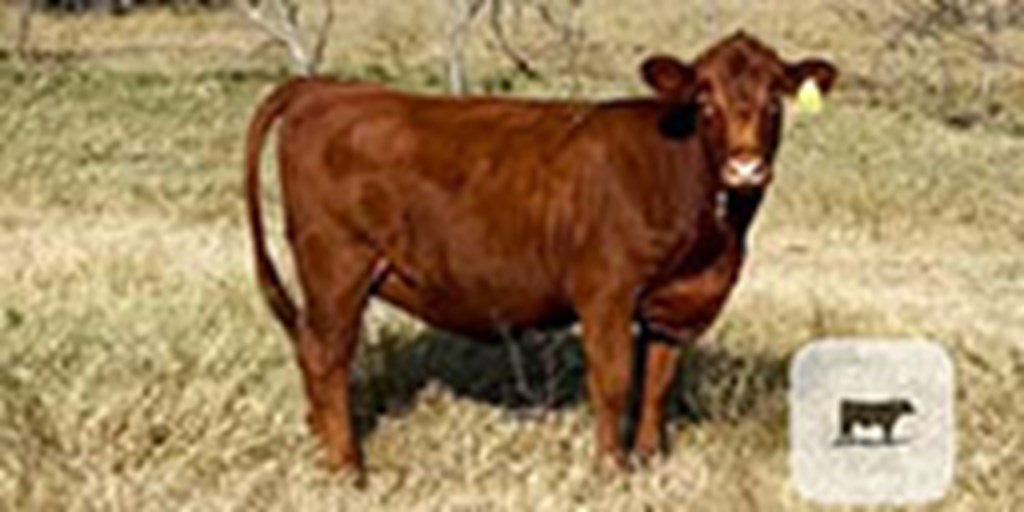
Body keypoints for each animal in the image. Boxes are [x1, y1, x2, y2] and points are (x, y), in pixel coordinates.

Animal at [243, 31, 838, 475]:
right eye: (705, 101)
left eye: (775, 101)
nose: (745, 167)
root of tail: (325, 90)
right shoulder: (605, 294)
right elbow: (614, 381)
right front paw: (610, 469)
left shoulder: (675, 304)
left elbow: (657, 384)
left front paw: (648, 460)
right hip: (336, 267)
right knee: (326, 356)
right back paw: (348, 468)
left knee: (310, 349)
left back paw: (322, 443)